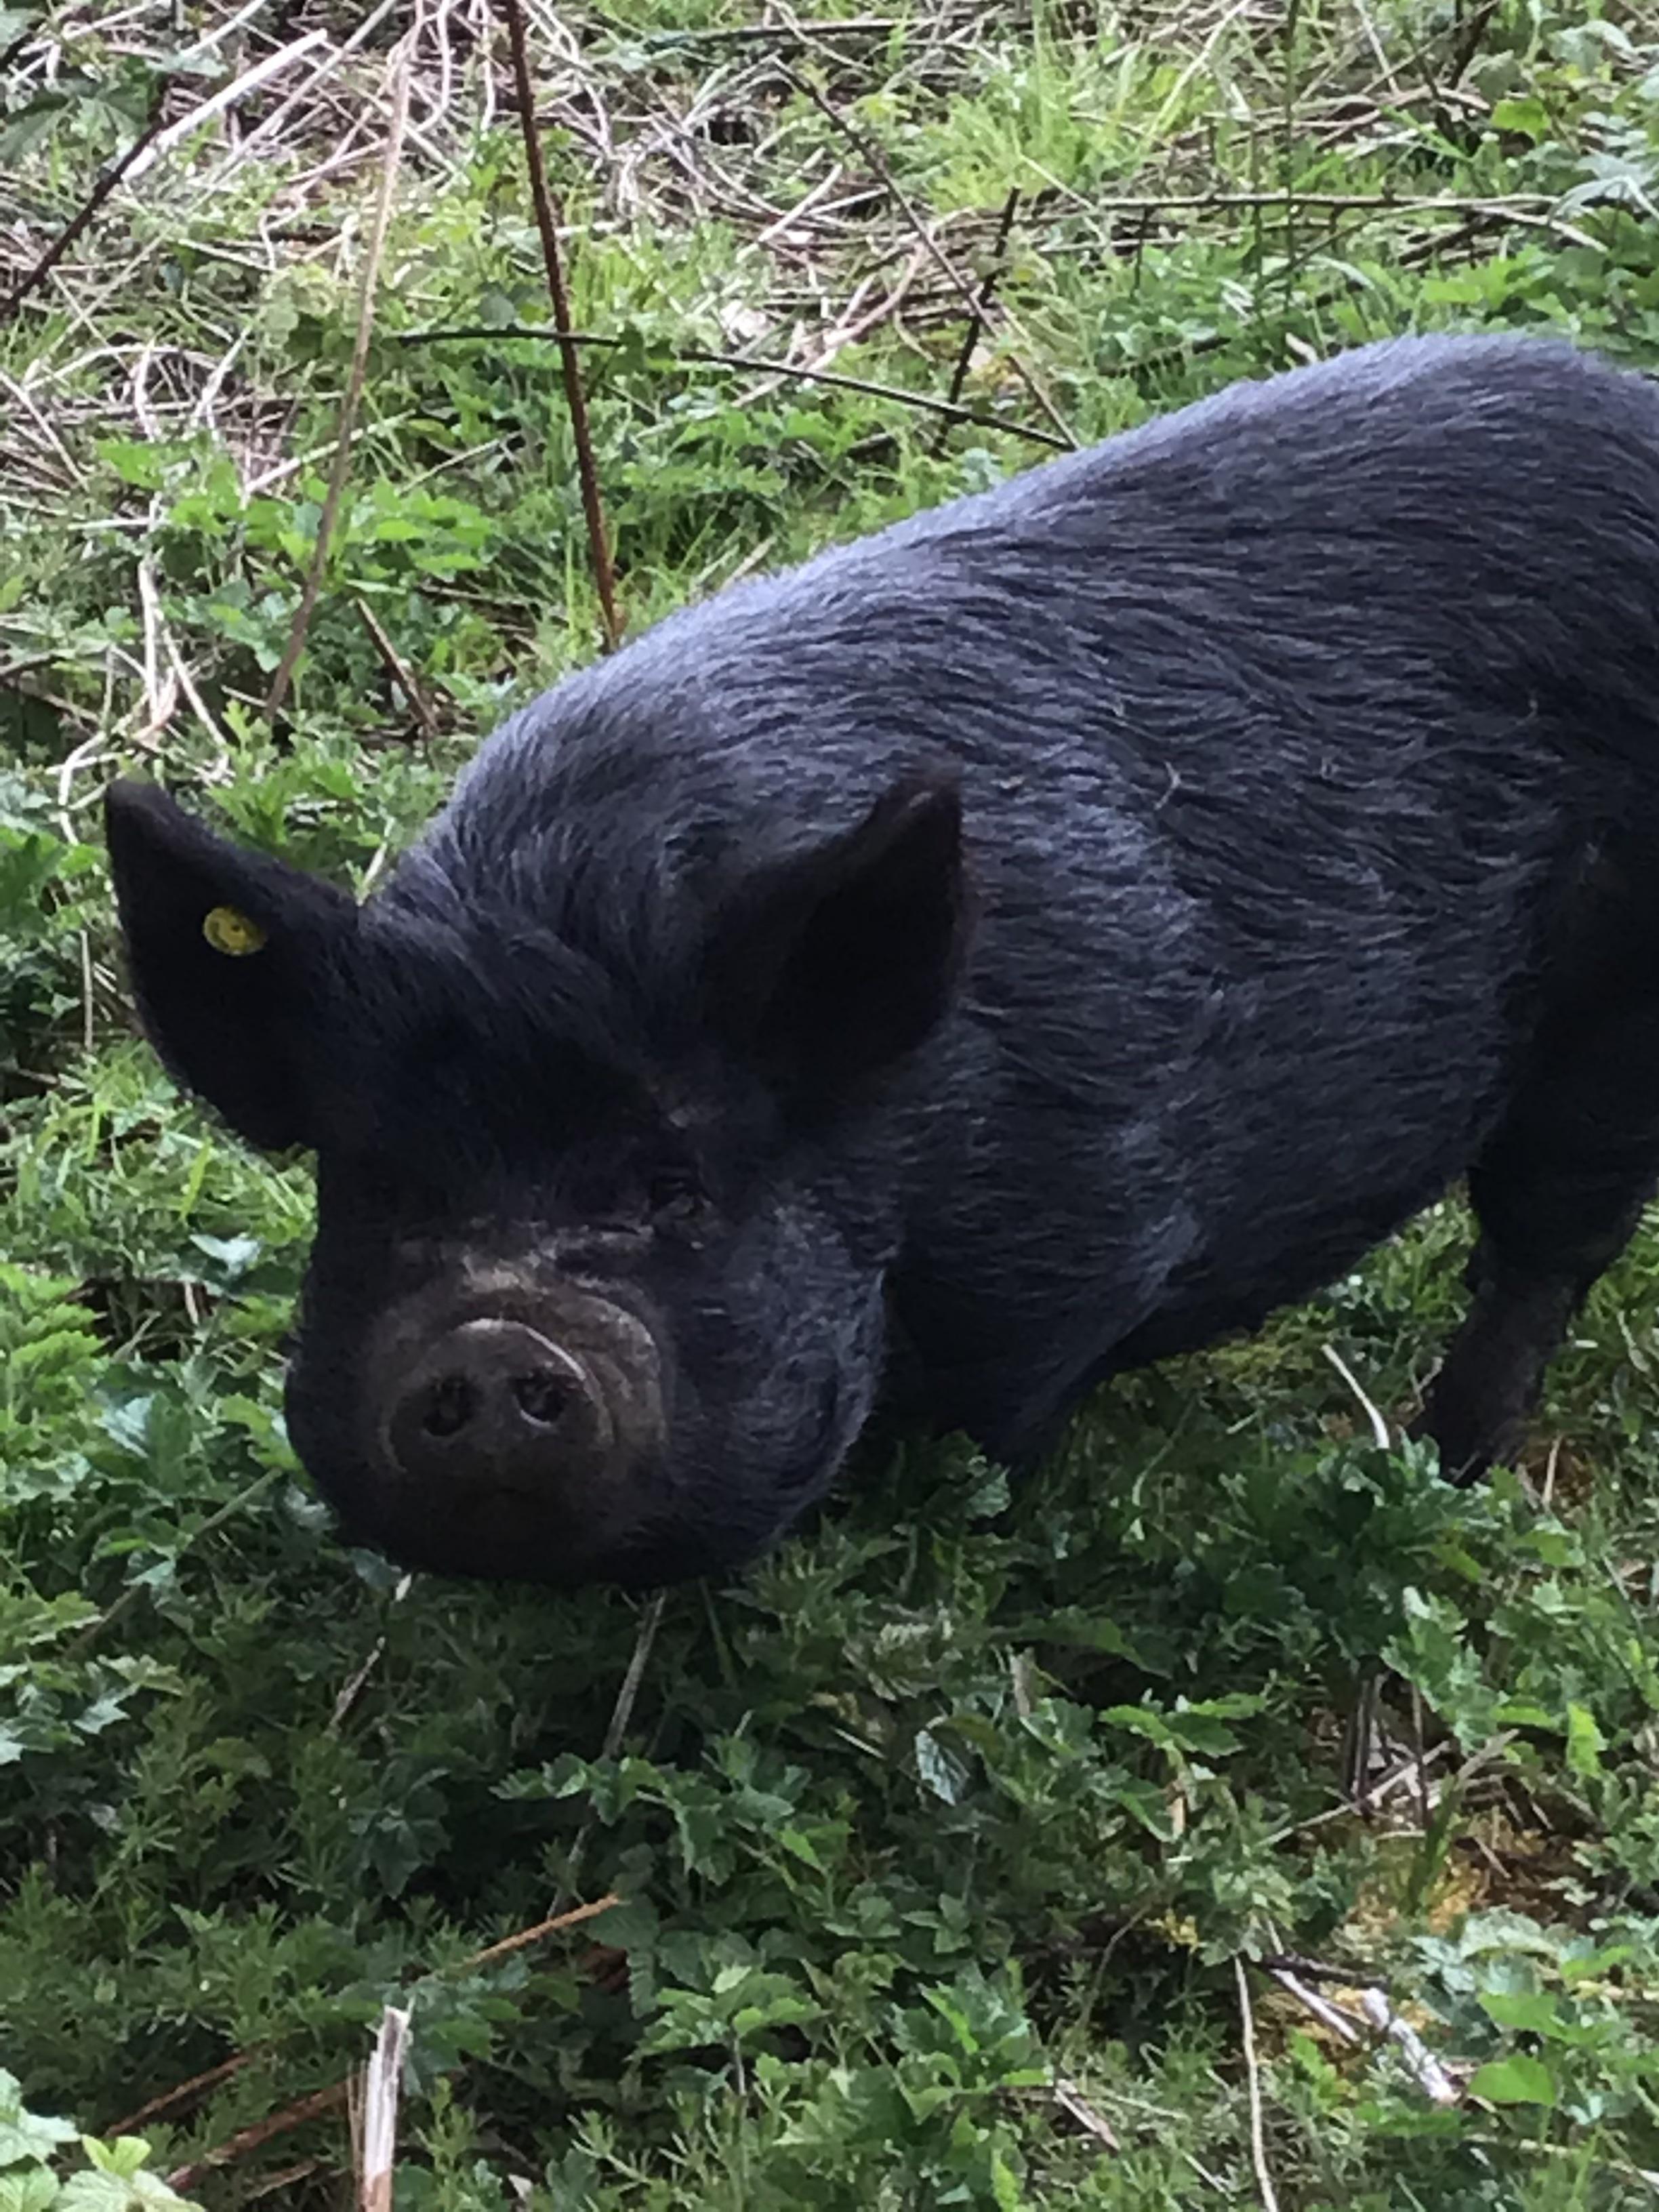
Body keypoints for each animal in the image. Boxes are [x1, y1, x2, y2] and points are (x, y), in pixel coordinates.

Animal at [106, 333, 1659, 1591]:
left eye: (677, 1186)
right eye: (382, 1190)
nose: (495, 1338)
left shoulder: (1070, 1260)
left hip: (1613, 1014)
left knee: (1544, 1244)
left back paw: (1442, 1469)